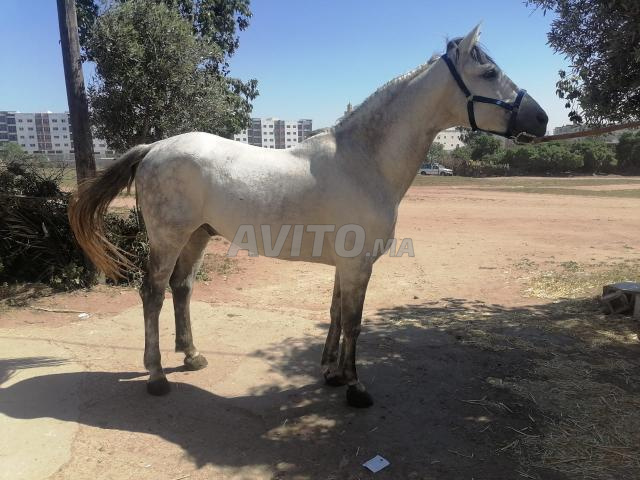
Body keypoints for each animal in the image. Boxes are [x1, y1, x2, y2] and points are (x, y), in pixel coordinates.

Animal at [69, 25, 548, 408]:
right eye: (489, 74)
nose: (541, 119)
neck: (364, 160)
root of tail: (154, 148)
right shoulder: (357, 266)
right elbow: (353, 321)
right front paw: (355, 387)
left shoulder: (346, 264)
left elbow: (336, 313)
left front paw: (331, 373)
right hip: (168, 238)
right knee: (152, 294)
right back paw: (155, 377)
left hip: (197, 236)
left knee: (181, 288)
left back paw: (192, 356)